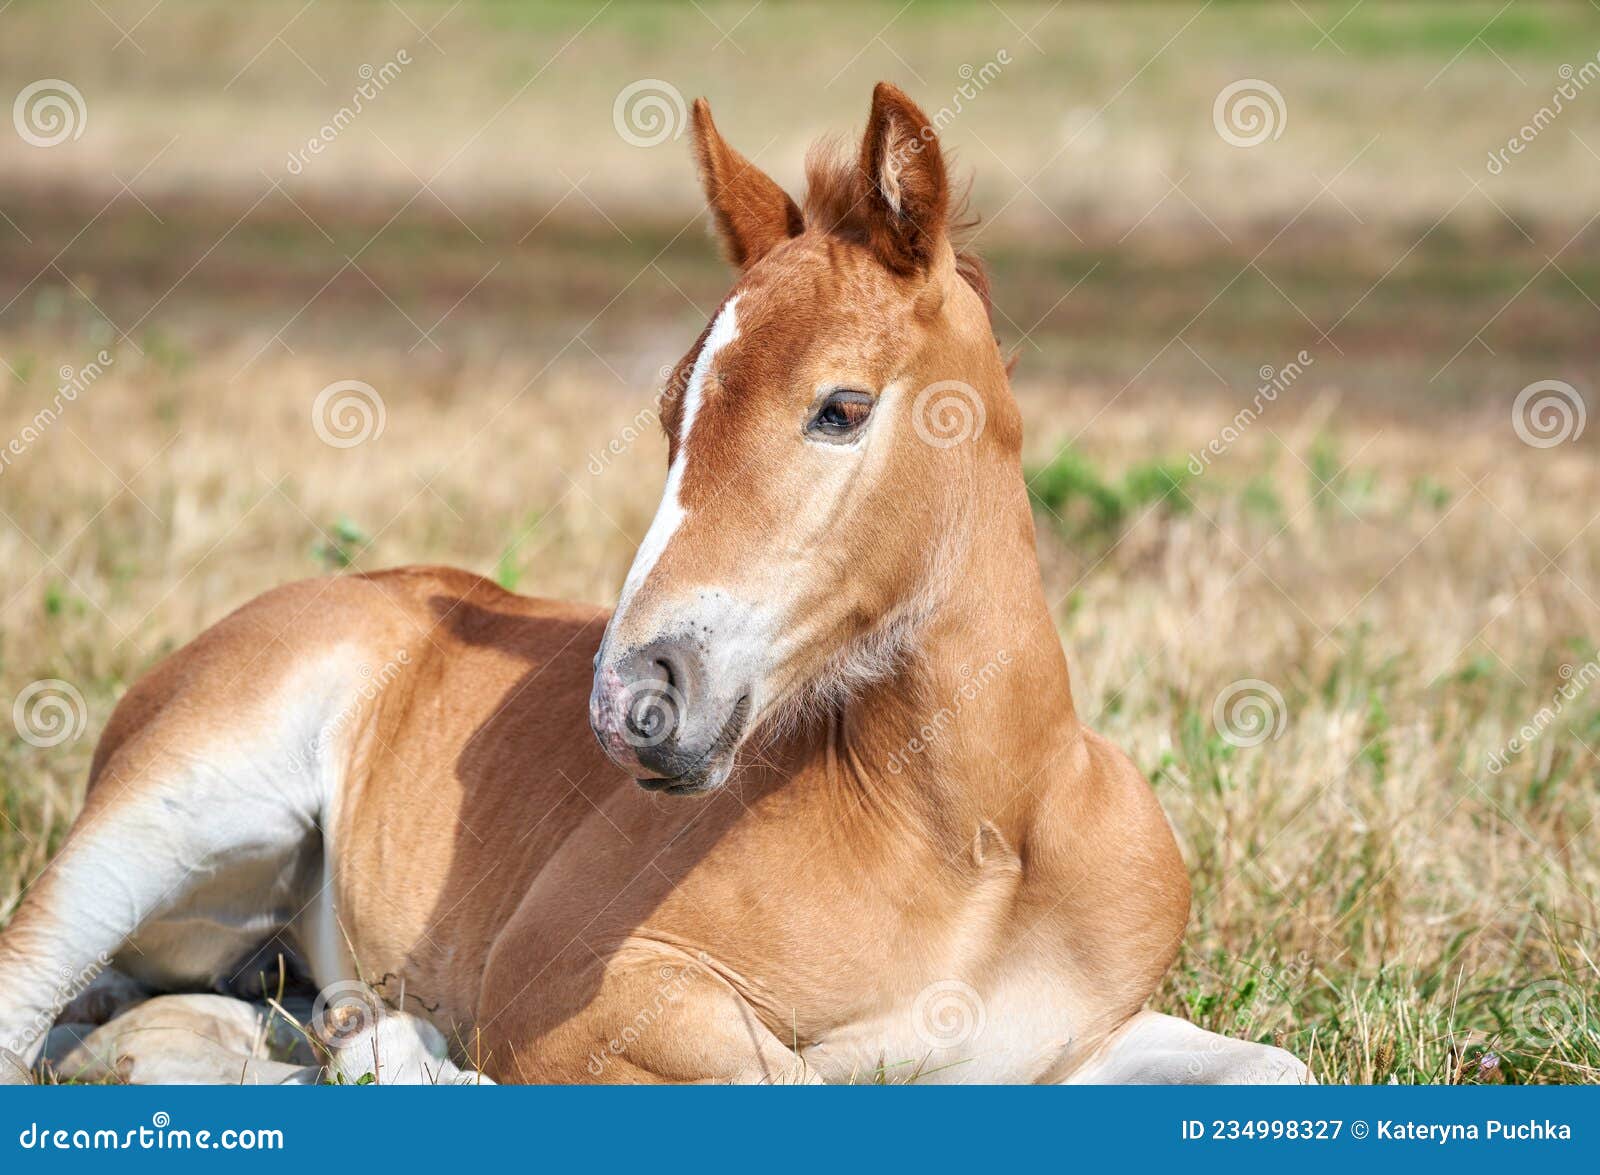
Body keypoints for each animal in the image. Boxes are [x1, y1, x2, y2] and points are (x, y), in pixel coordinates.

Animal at [0, 84, 1311, 1085]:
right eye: (671, 412)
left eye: (841, 407)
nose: (636, 700)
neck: (975, 832)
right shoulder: (573, 981)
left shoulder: (1078, 1040)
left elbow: (1273, 1068)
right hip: (173, 806)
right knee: (30, 999)